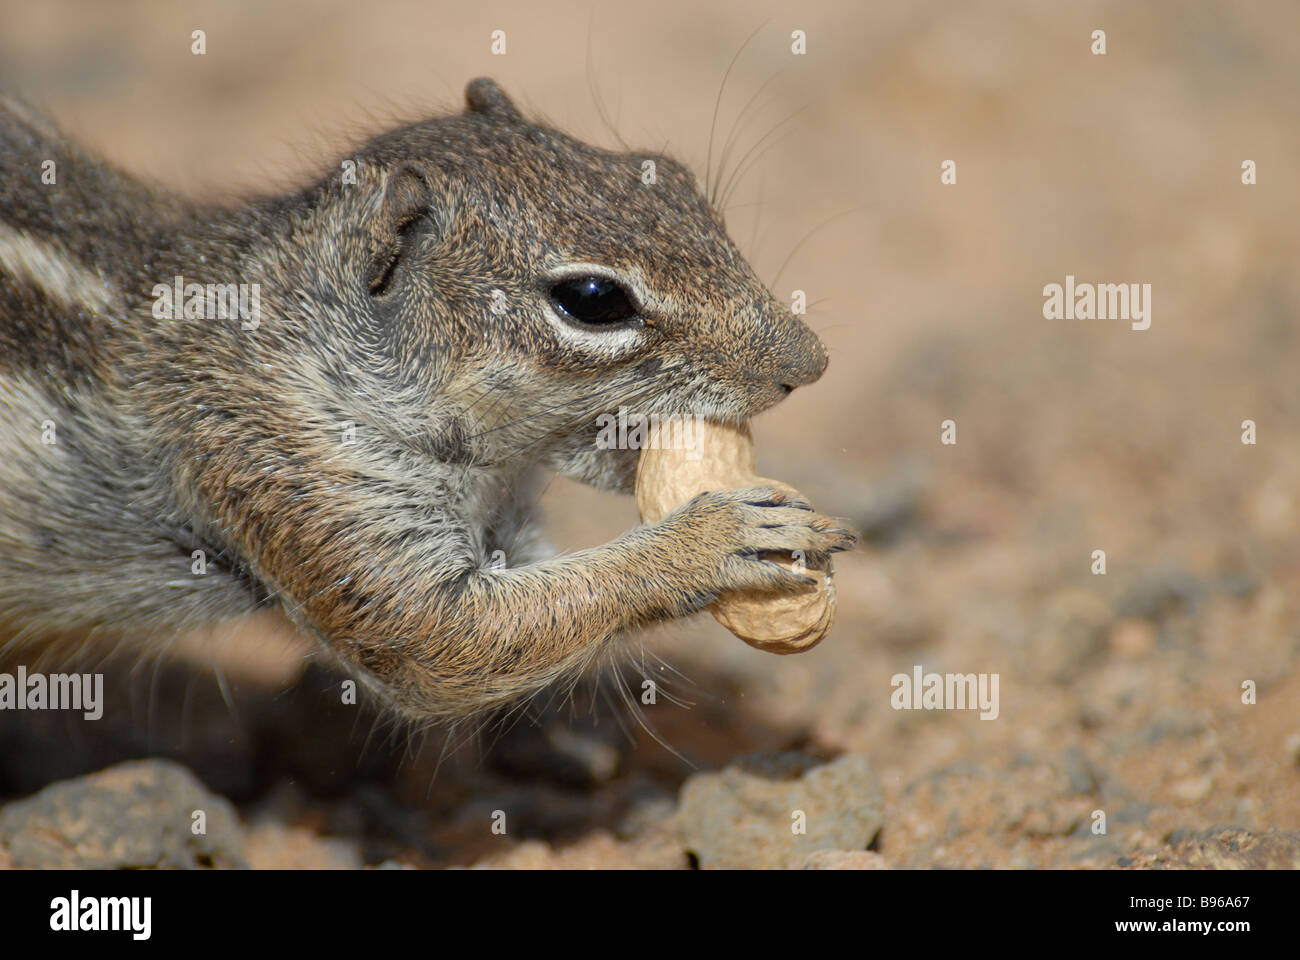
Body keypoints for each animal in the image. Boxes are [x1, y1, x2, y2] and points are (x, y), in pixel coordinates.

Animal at [0, 78, 856, 723]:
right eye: (592, 299)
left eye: (670, 172)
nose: (809, 362)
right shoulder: (288, 474)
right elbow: (448, 638)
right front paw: (717, 538)